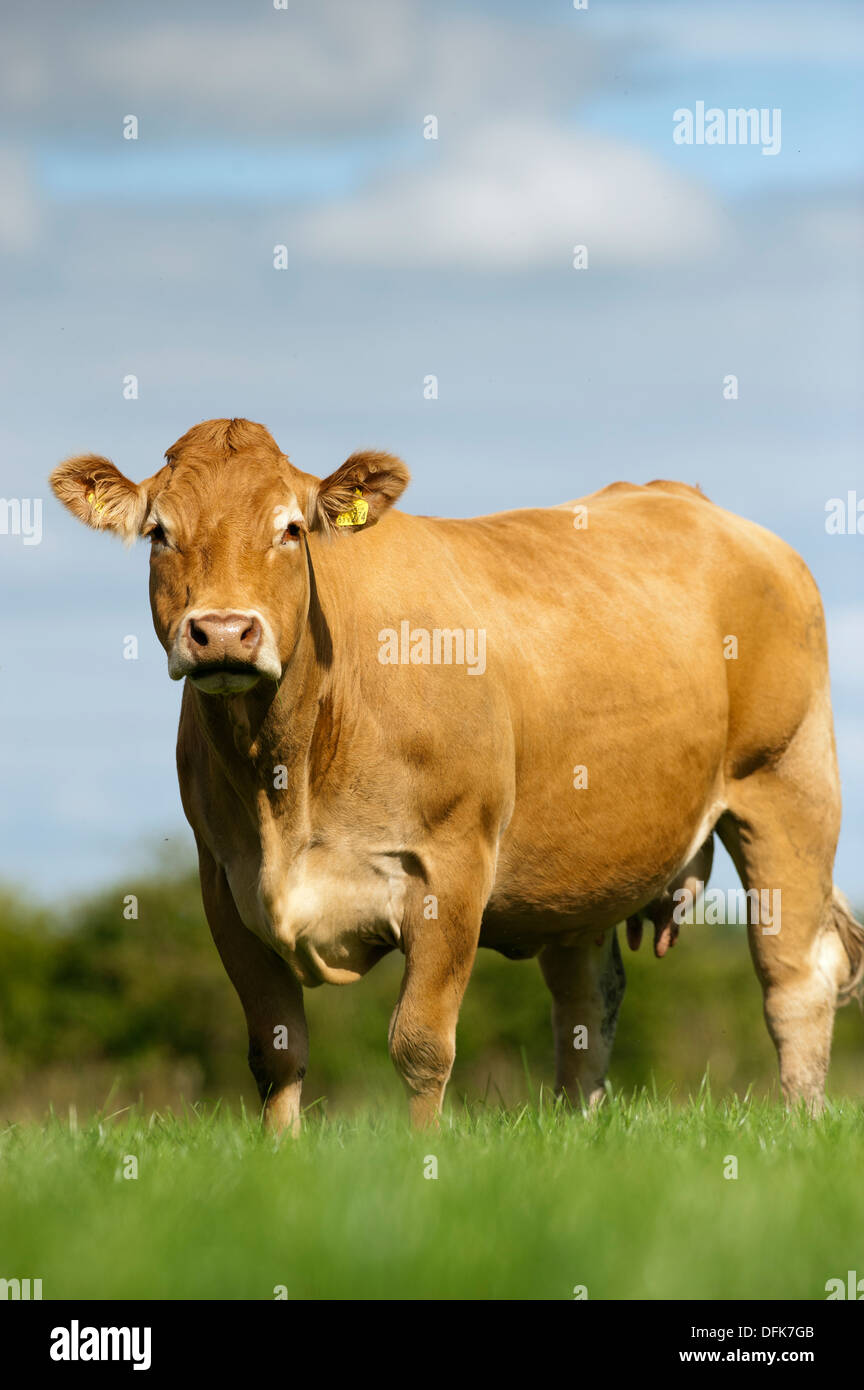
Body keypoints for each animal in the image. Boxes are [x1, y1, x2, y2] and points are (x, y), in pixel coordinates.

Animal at [51, 418, 864, 1131]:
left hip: (788, 788)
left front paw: (424, 1160)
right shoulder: (225, 883)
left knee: (795, 980)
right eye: (159, 533)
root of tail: (691, 500)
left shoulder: (452, 865)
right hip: (587, 865)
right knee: (588, 1000)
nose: (223, 632)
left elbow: (420, 1045)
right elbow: (275, 1053)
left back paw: (798, 1121)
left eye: (290, 529)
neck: (288, 784)